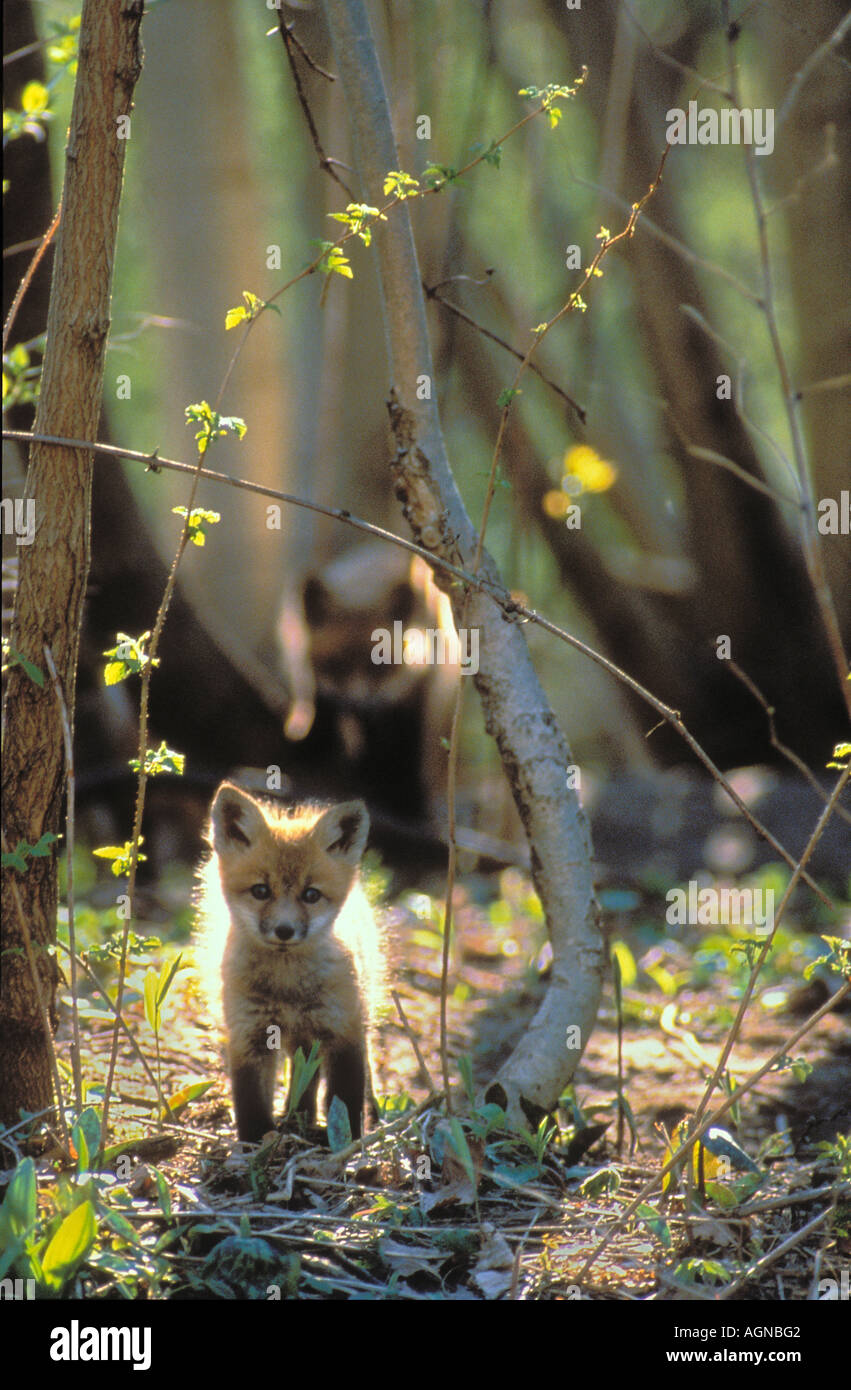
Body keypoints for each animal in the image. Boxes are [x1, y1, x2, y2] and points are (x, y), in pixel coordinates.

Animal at [195, 780, 383, 1144]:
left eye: (311, 895)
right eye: (260, 891)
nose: (284, 930)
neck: (287, 986)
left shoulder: (343, 1029)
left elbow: (346, 1096)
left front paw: (348, 1144)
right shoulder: (249, 1034)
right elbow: (251, 1102)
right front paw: (256, 1144)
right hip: (301, 1041)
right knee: (303, 1080)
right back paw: (297, 1117)